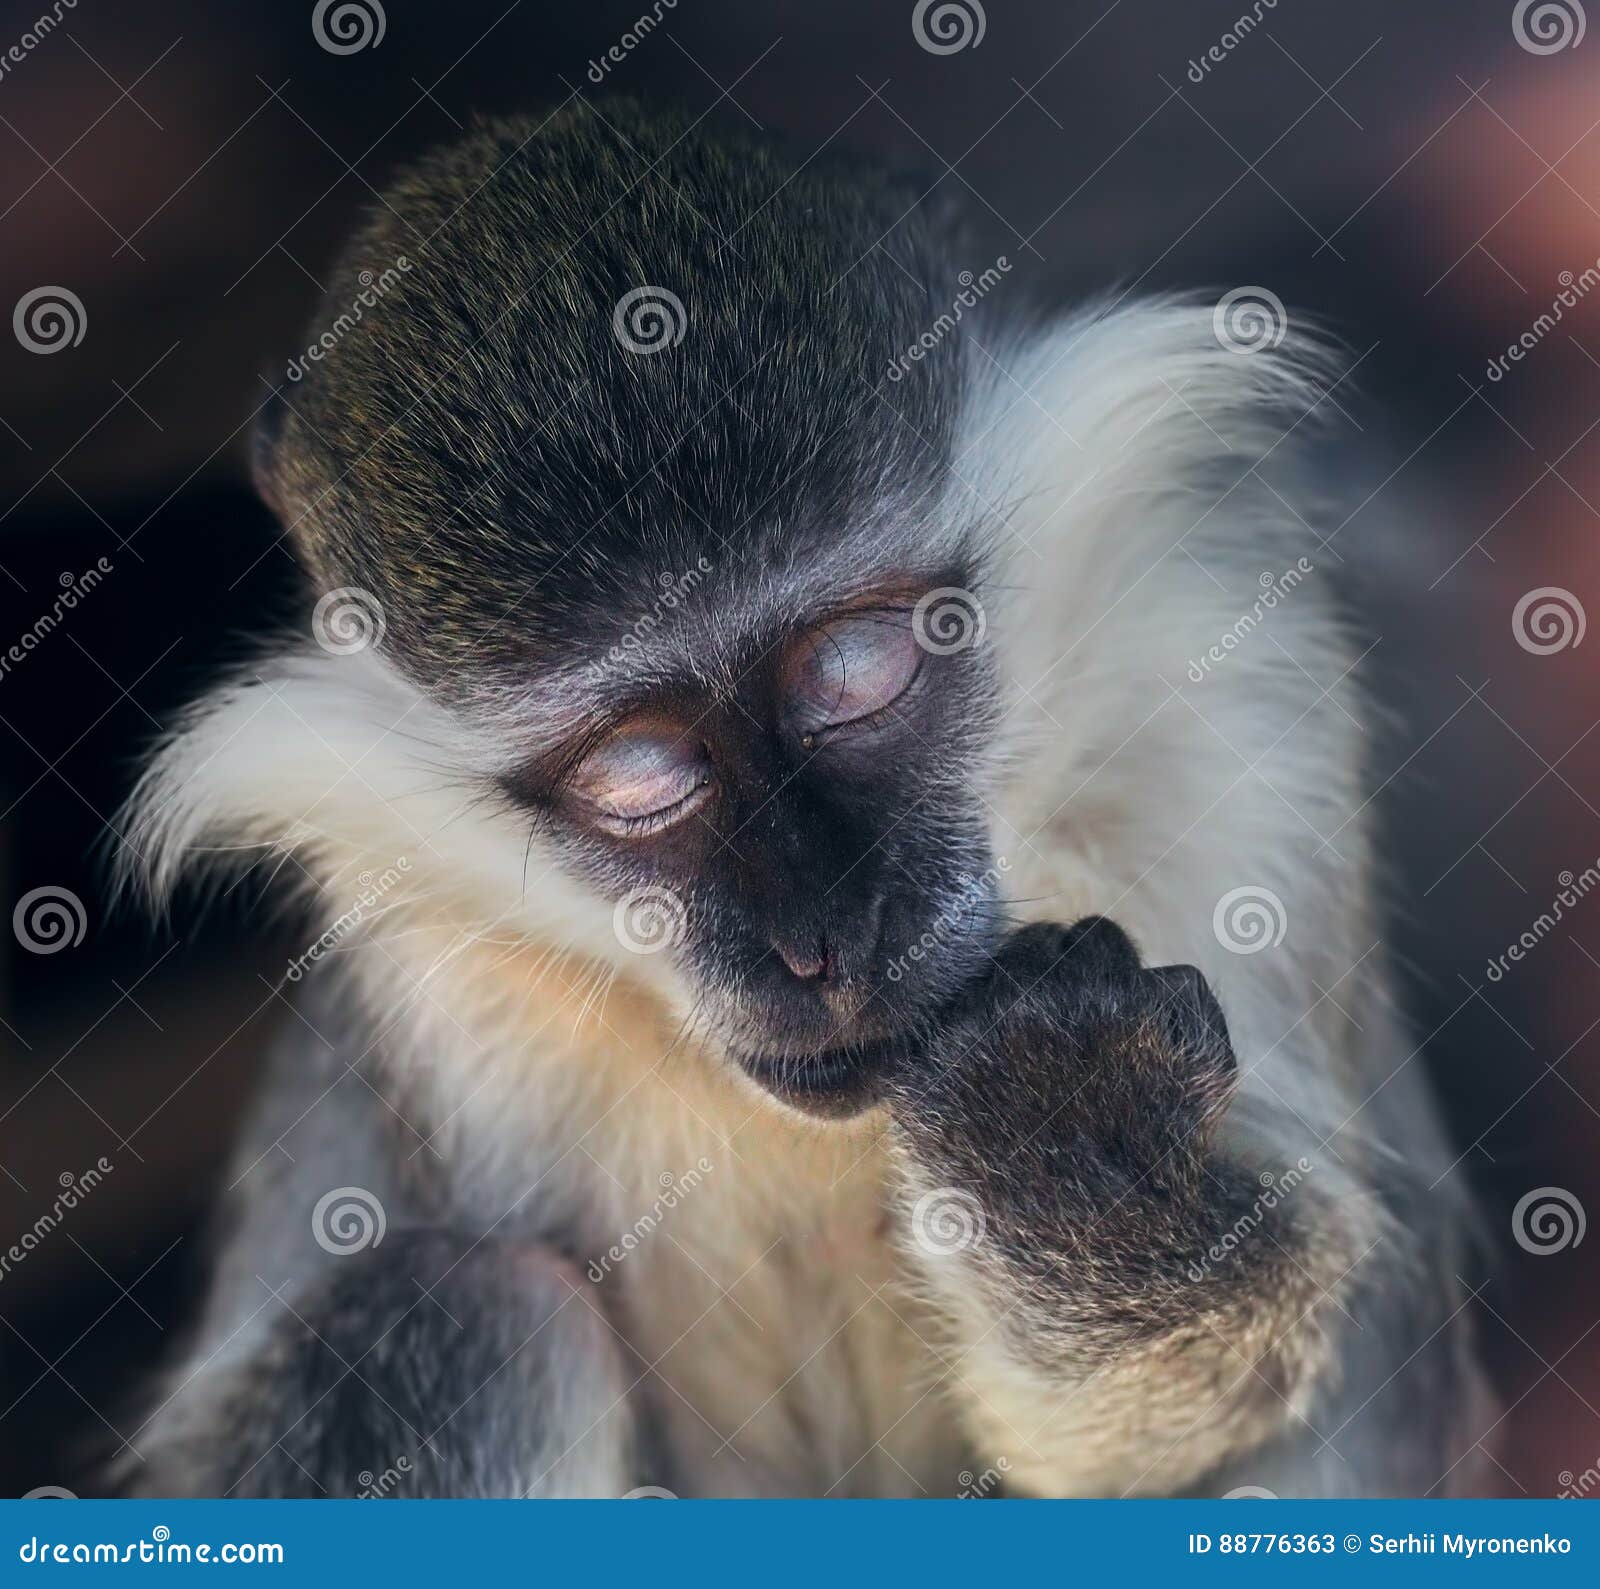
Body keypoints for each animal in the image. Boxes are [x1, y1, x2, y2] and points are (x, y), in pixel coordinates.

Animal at [115, 99, 1495, 1499]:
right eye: (636, 770)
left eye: (855, 666)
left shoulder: (1232, 704)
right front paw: (1074, 1131)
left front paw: (1076, 1155)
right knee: (478, 1308)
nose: (830, 937)